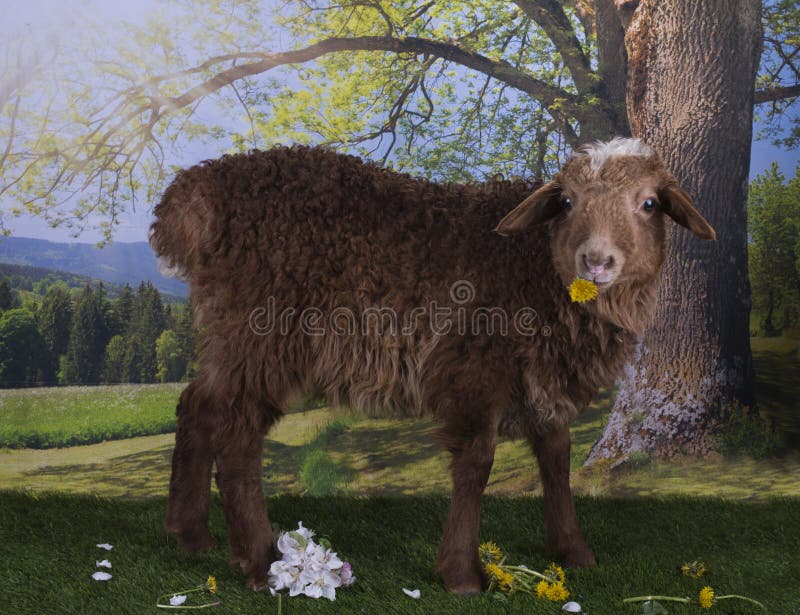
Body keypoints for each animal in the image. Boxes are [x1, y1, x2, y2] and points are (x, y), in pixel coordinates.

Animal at [150, 137, 715, 593]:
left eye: (648, 203)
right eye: (568, 202)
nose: (596, 261)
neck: (533, 266)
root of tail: (192, 194)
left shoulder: (543, 378)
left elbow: (556, 458)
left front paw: (572, 551)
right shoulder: (473, 368)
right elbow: (476, 463)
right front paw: (462, 573)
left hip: (231, 334)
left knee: (197, 405)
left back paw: (190, 533)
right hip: (263, 331)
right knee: (238, 431)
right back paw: (259, 560)